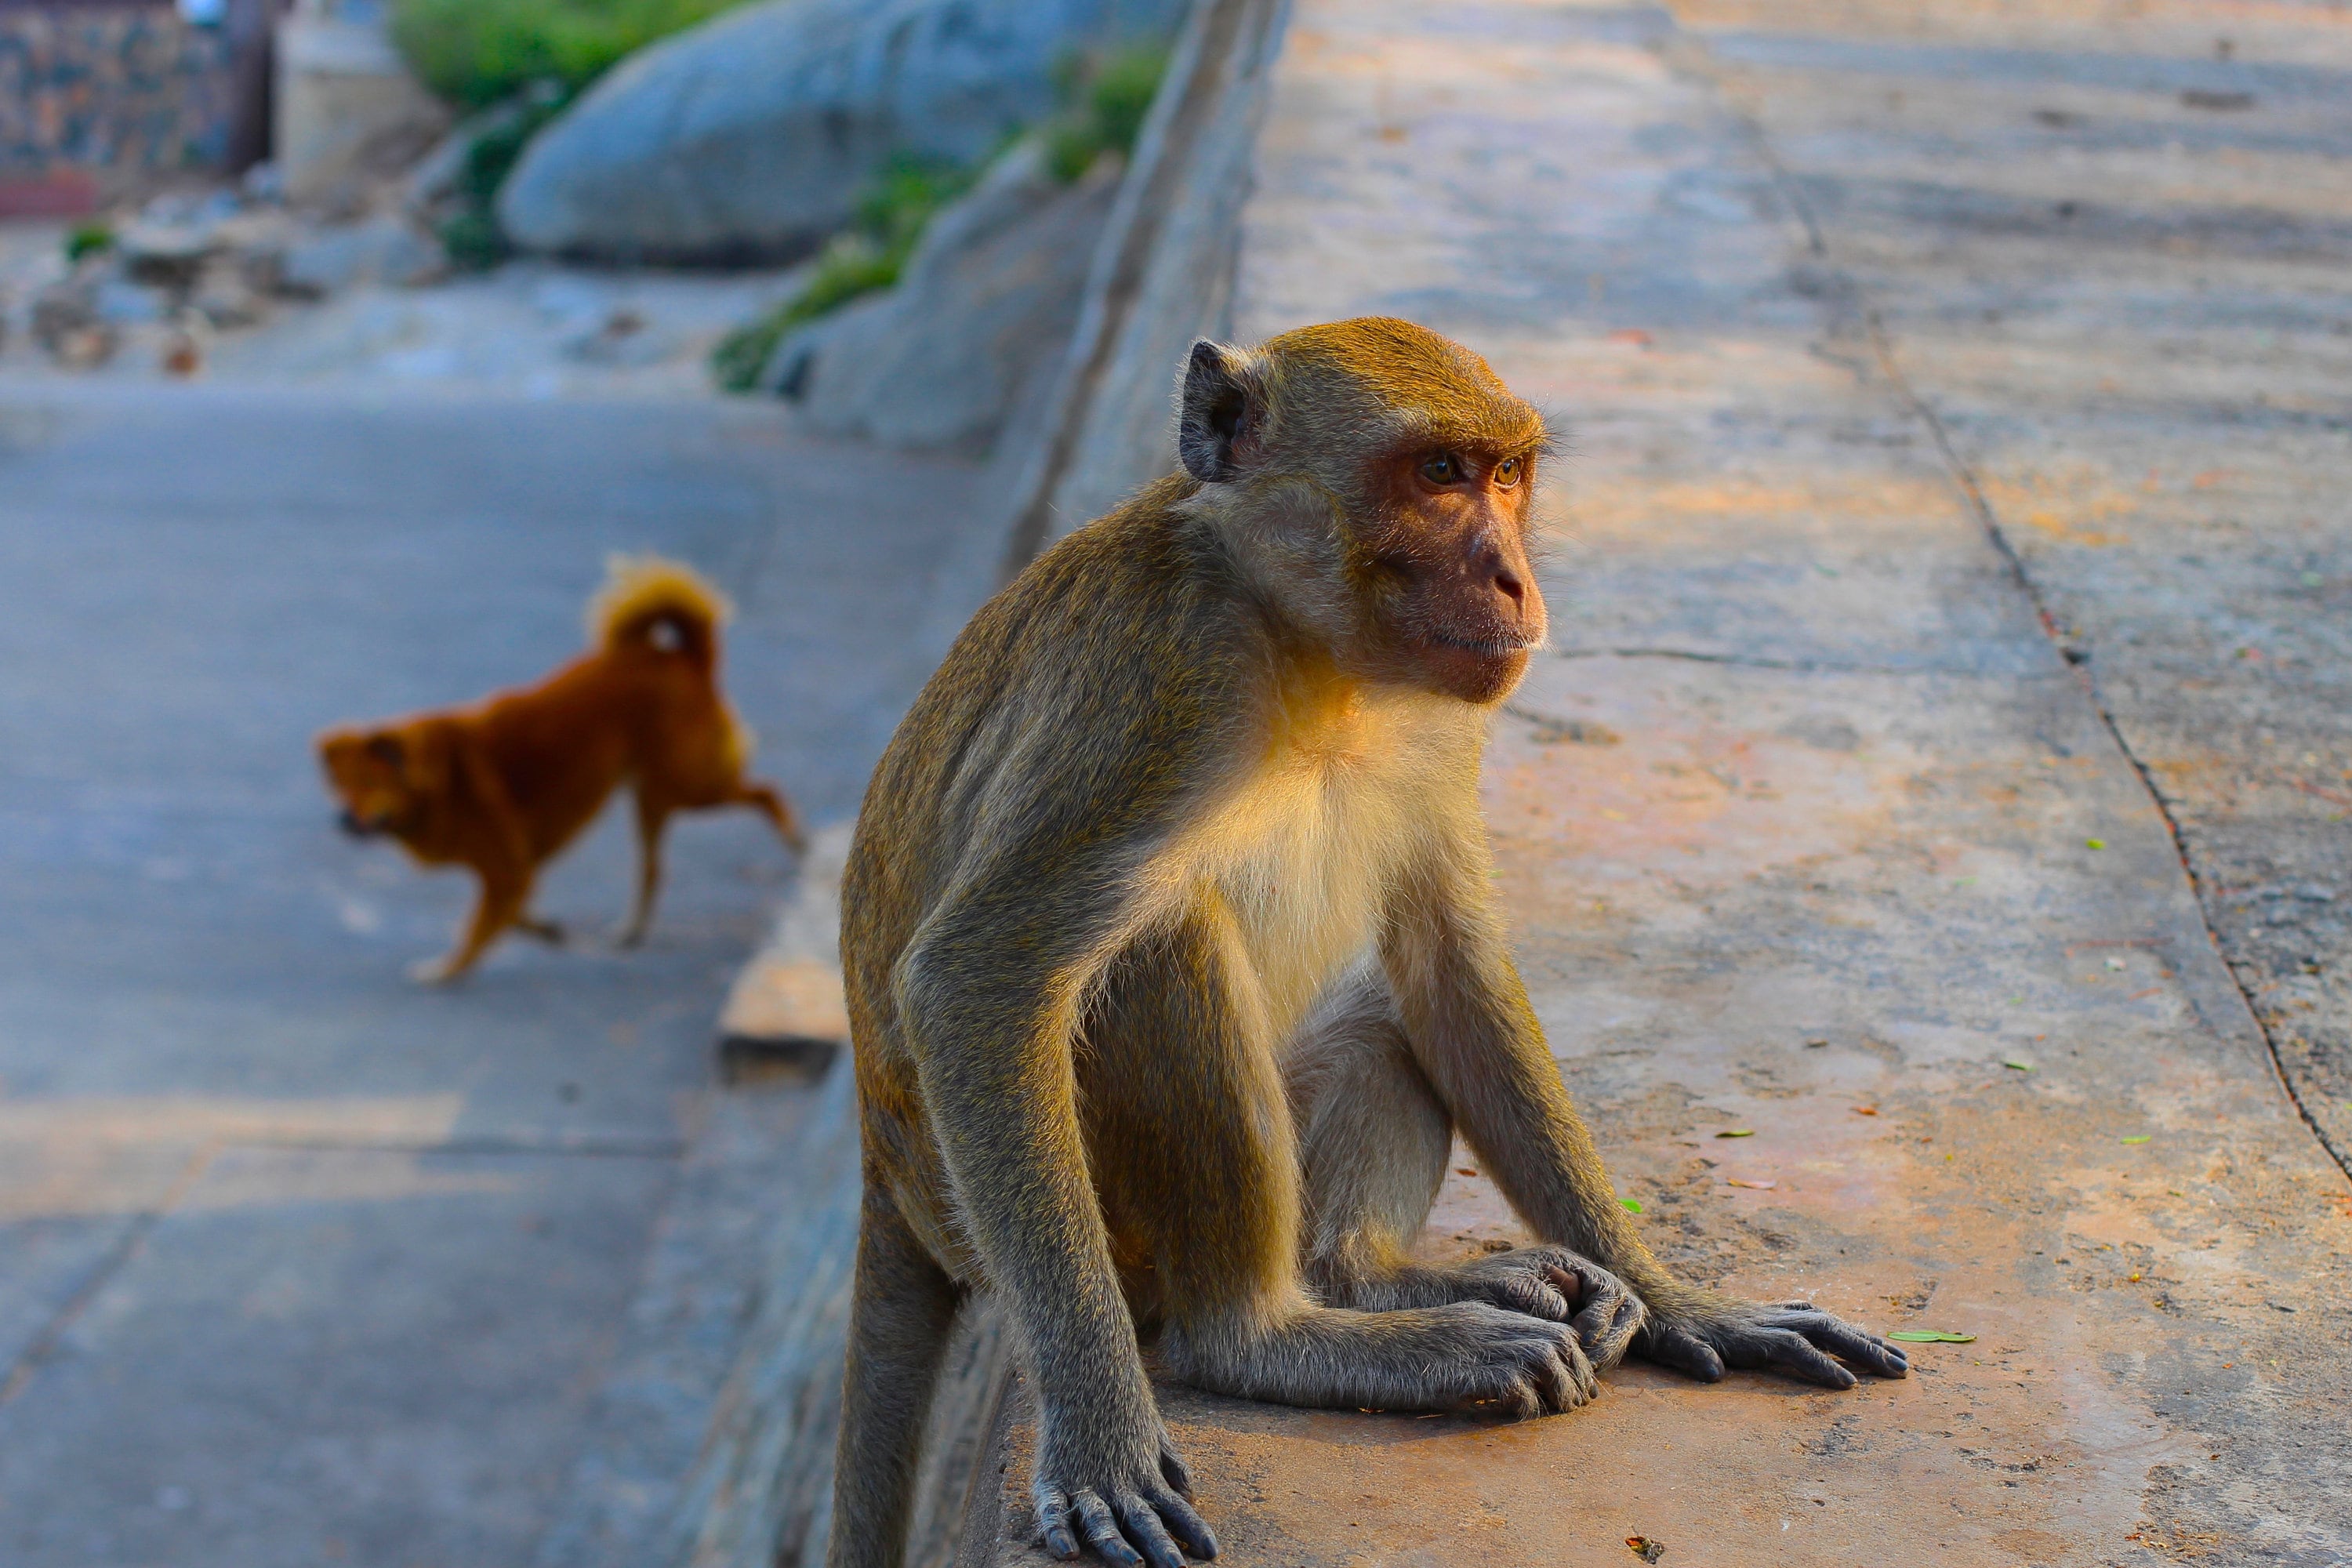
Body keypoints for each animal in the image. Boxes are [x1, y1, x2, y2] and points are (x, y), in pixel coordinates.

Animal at [831, 317, 1907, 1568]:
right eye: (1437, 474)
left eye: (1506, 475)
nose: (1512, 576)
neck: (1312, 656)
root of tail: (886, 1158)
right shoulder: (1158, 685)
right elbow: (977, 977)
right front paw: (1101, 1437)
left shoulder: (1445, 717)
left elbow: (1451, 964)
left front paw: (1689, 1301)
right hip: (1082, 1222)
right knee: (1162, 944)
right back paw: (1271, 1335)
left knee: (1376, 1029)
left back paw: (1376, 1280)